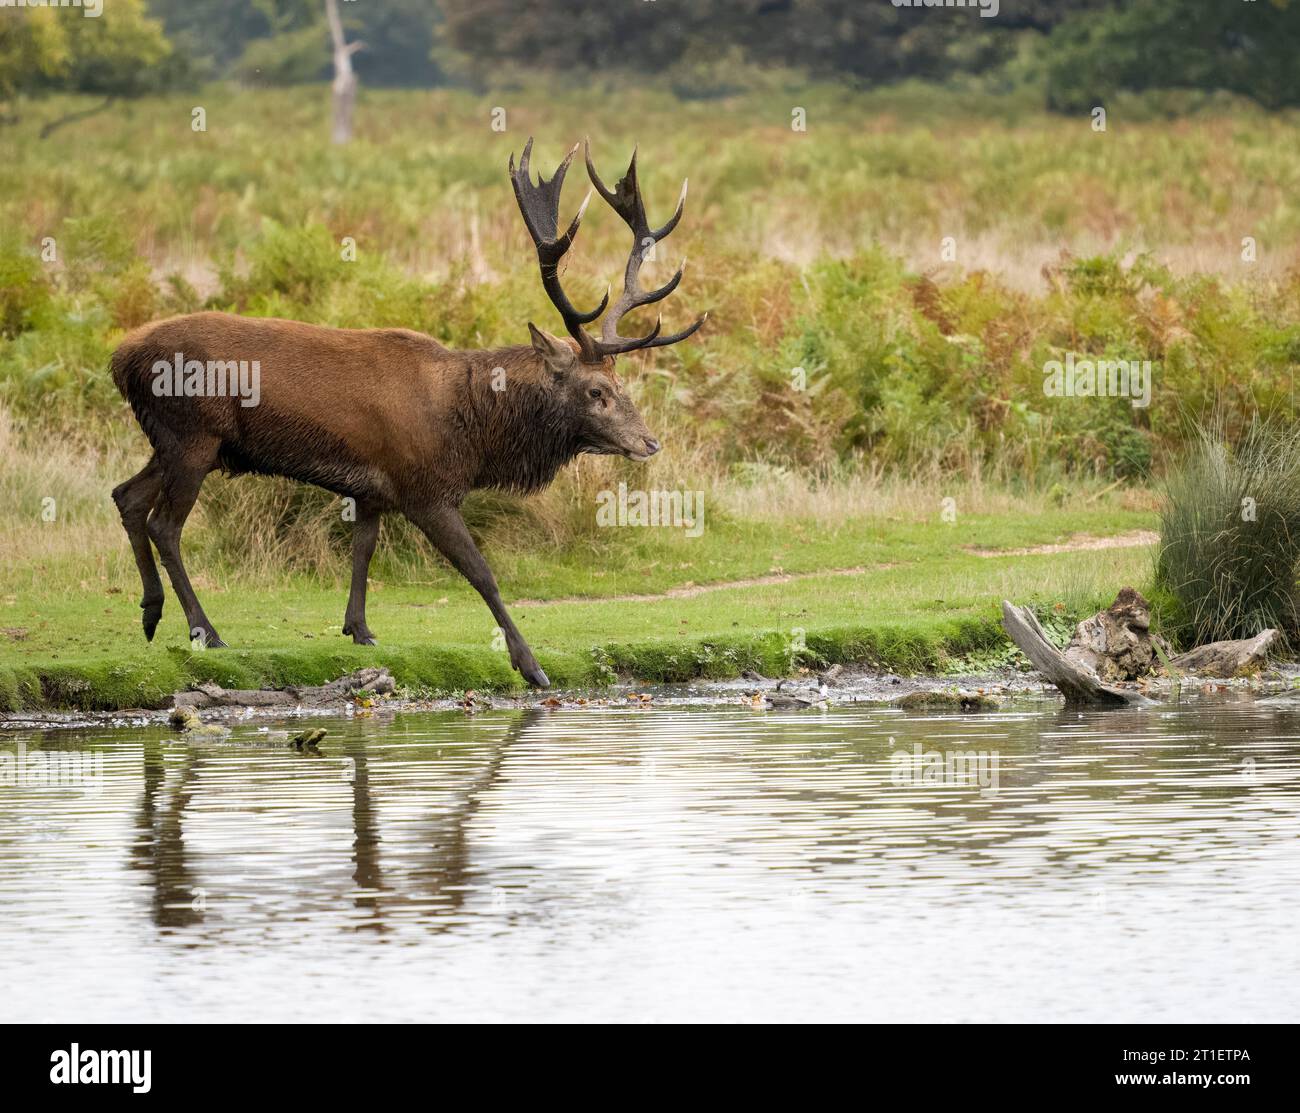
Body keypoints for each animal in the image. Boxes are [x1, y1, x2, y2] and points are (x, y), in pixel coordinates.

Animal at [108, 139, 704, 689]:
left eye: (621, 384)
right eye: (597, 390)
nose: (649, 443)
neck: (474, 432)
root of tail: (119, 359)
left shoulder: (374, 487)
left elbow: (363, 550)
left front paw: (359, 629)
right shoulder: (426, 488)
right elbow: (481, 573)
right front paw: (529, 664)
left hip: (174, 440)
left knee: (126, 495)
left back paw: (150, 613)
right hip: (193, 435)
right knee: (164, 523)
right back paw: (204, 630)